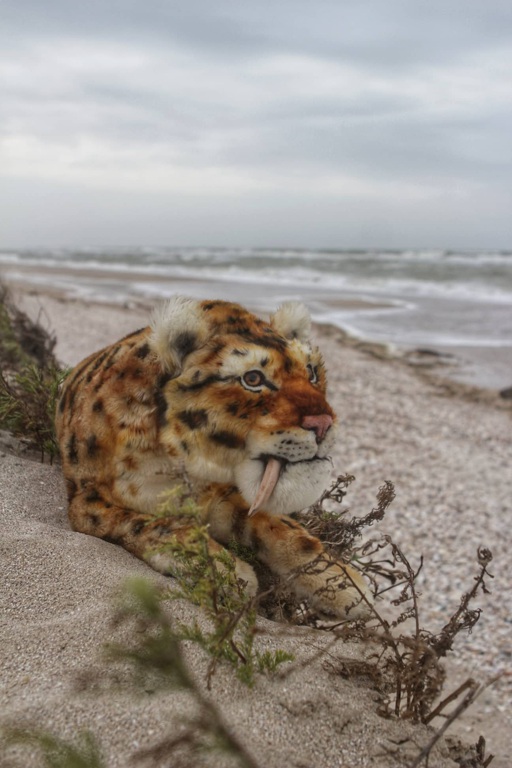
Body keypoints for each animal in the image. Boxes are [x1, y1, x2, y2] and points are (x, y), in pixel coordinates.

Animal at [55, 296, 371, 619]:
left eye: (311, 372)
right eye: (253, 378)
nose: (322, 424)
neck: (188, 473)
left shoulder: (224, 496)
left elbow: (283, 528)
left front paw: (344, 584)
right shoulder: (91, 502)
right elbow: (153, 524)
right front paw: (230, 572)